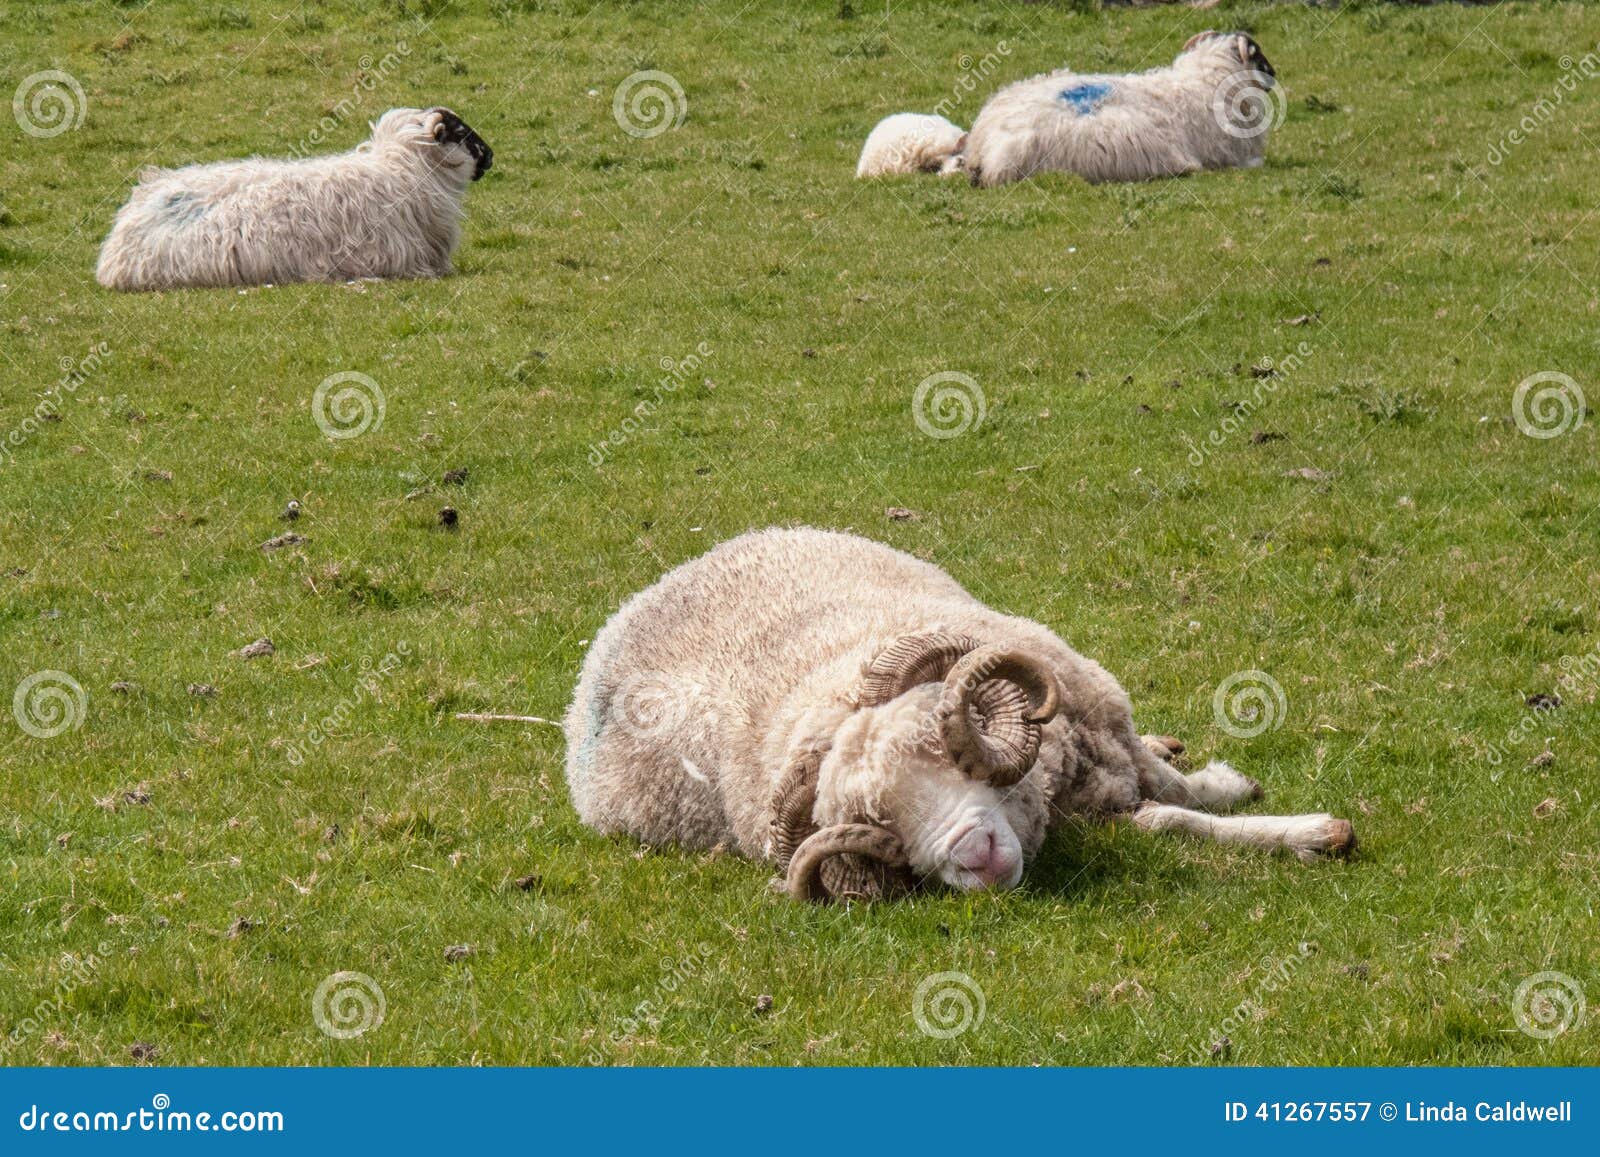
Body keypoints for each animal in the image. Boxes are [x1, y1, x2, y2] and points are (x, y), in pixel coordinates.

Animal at [563, 527, 1354, 903]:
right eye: (879, 830)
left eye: (936, 747)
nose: (972, 855)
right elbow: (1165, 819)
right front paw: (1312, 834)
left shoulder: (1103, 718)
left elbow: (1177, 788)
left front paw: (1235, 788)